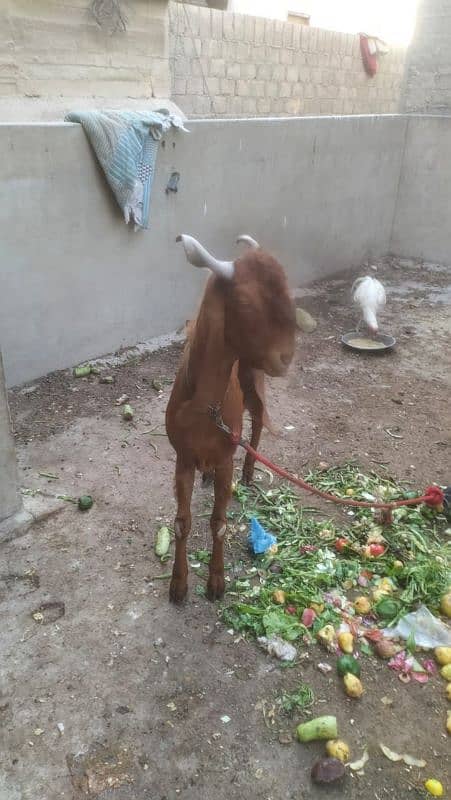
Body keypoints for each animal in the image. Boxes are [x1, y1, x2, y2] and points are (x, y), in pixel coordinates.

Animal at [165, 234, 296, 603]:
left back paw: (250, 472)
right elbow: (182, 521)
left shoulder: (226, 458)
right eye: (246, 301)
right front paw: (178, 585)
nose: (286, 357)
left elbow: (219, 522)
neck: (205, 409)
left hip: (254, 380)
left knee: (257, 423)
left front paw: (216, 582)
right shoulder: (182, 457)